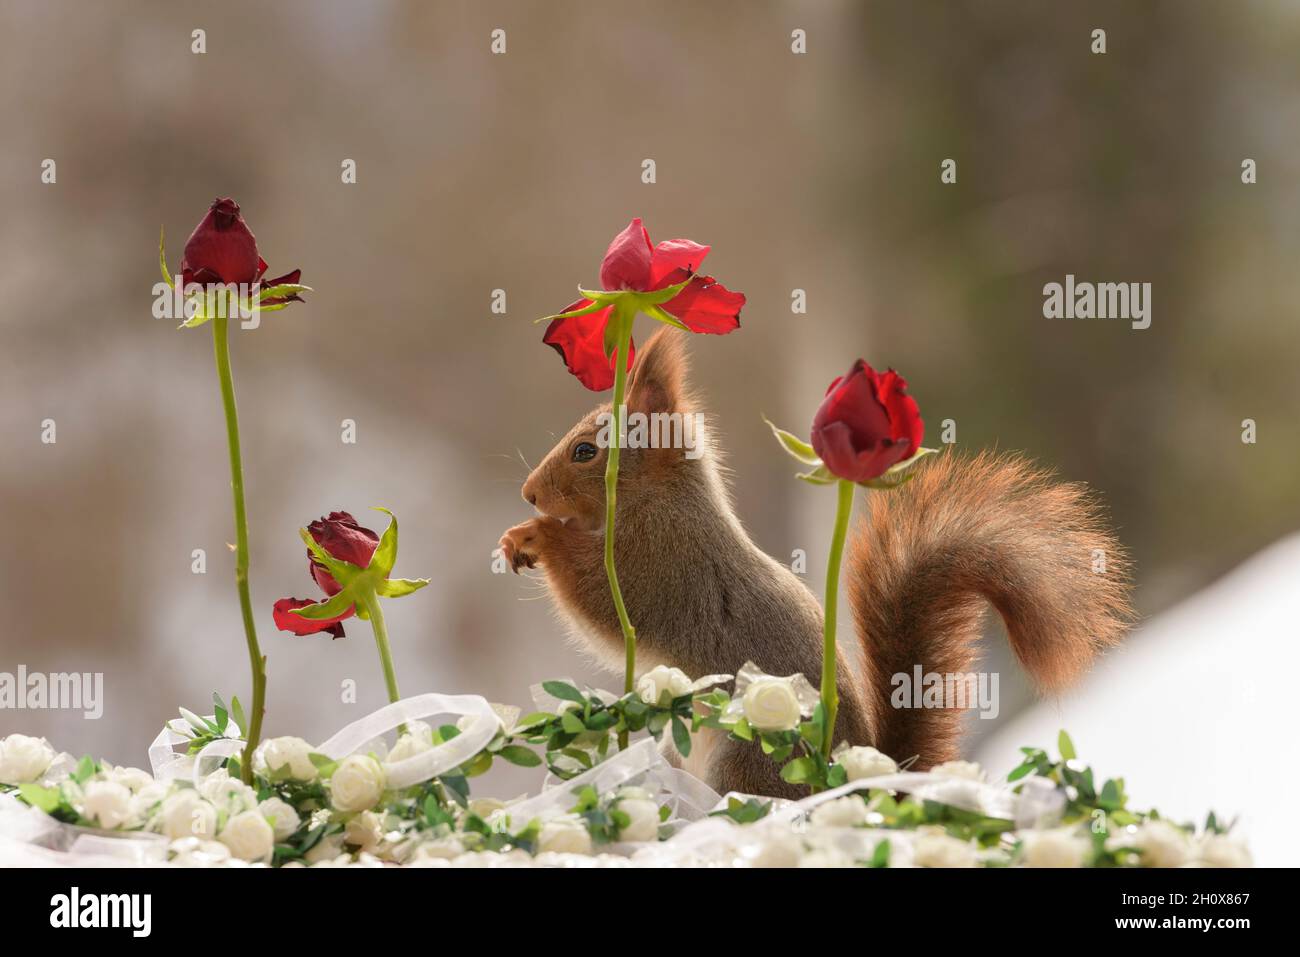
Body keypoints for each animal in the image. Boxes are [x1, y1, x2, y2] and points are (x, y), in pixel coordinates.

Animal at [499, 329, 1132, 798]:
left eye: (586, 451)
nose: (529, 493)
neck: (662, 498)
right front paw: (516, 539)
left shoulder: (660, 565)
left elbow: (603, 603)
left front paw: (537, 536)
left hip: (750, 758)